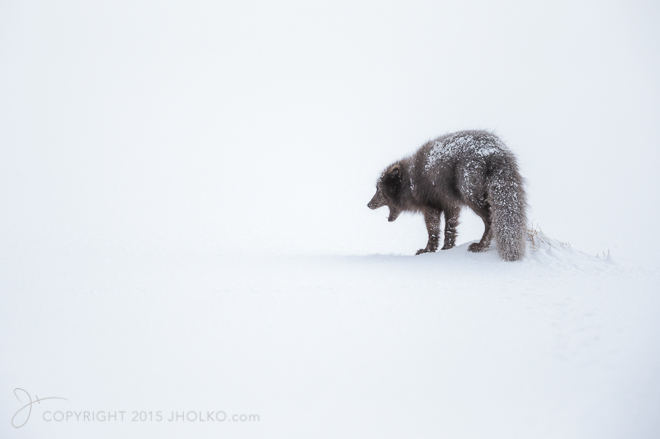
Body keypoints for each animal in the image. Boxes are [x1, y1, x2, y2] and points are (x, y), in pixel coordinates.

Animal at [367, 130, 528, 261]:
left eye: (378, 190)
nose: (368, 204)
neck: (410, 182)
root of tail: (494, 151)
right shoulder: (450, 204)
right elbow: (449, 229)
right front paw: (447, 249)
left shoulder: (431, 207)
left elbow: (433, 231)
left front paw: (428, 251)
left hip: (472, 196)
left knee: (490, 220)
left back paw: (480, 246)